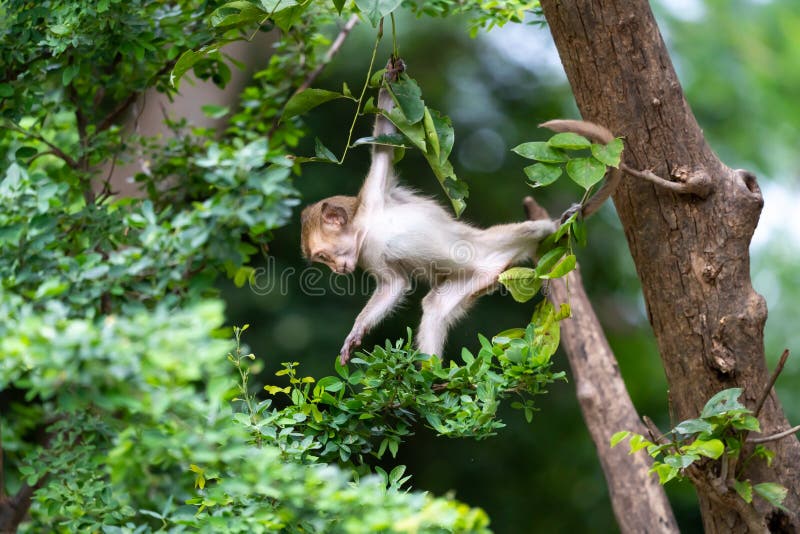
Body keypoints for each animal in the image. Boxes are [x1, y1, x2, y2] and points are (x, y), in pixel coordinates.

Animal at [301, 72, 622, 365]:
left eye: (324, 256)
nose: (336, 270)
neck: (366, 228)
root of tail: (497, 266)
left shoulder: (373, 197)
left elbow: (383, 150)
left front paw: (391, 78)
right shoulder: (367, 254)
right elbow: (394, 284)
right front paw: (356, 333)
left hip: (489, 244)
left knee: (533, 229)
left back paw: (563, 220)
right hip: (474, 280)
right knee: (435, 307)